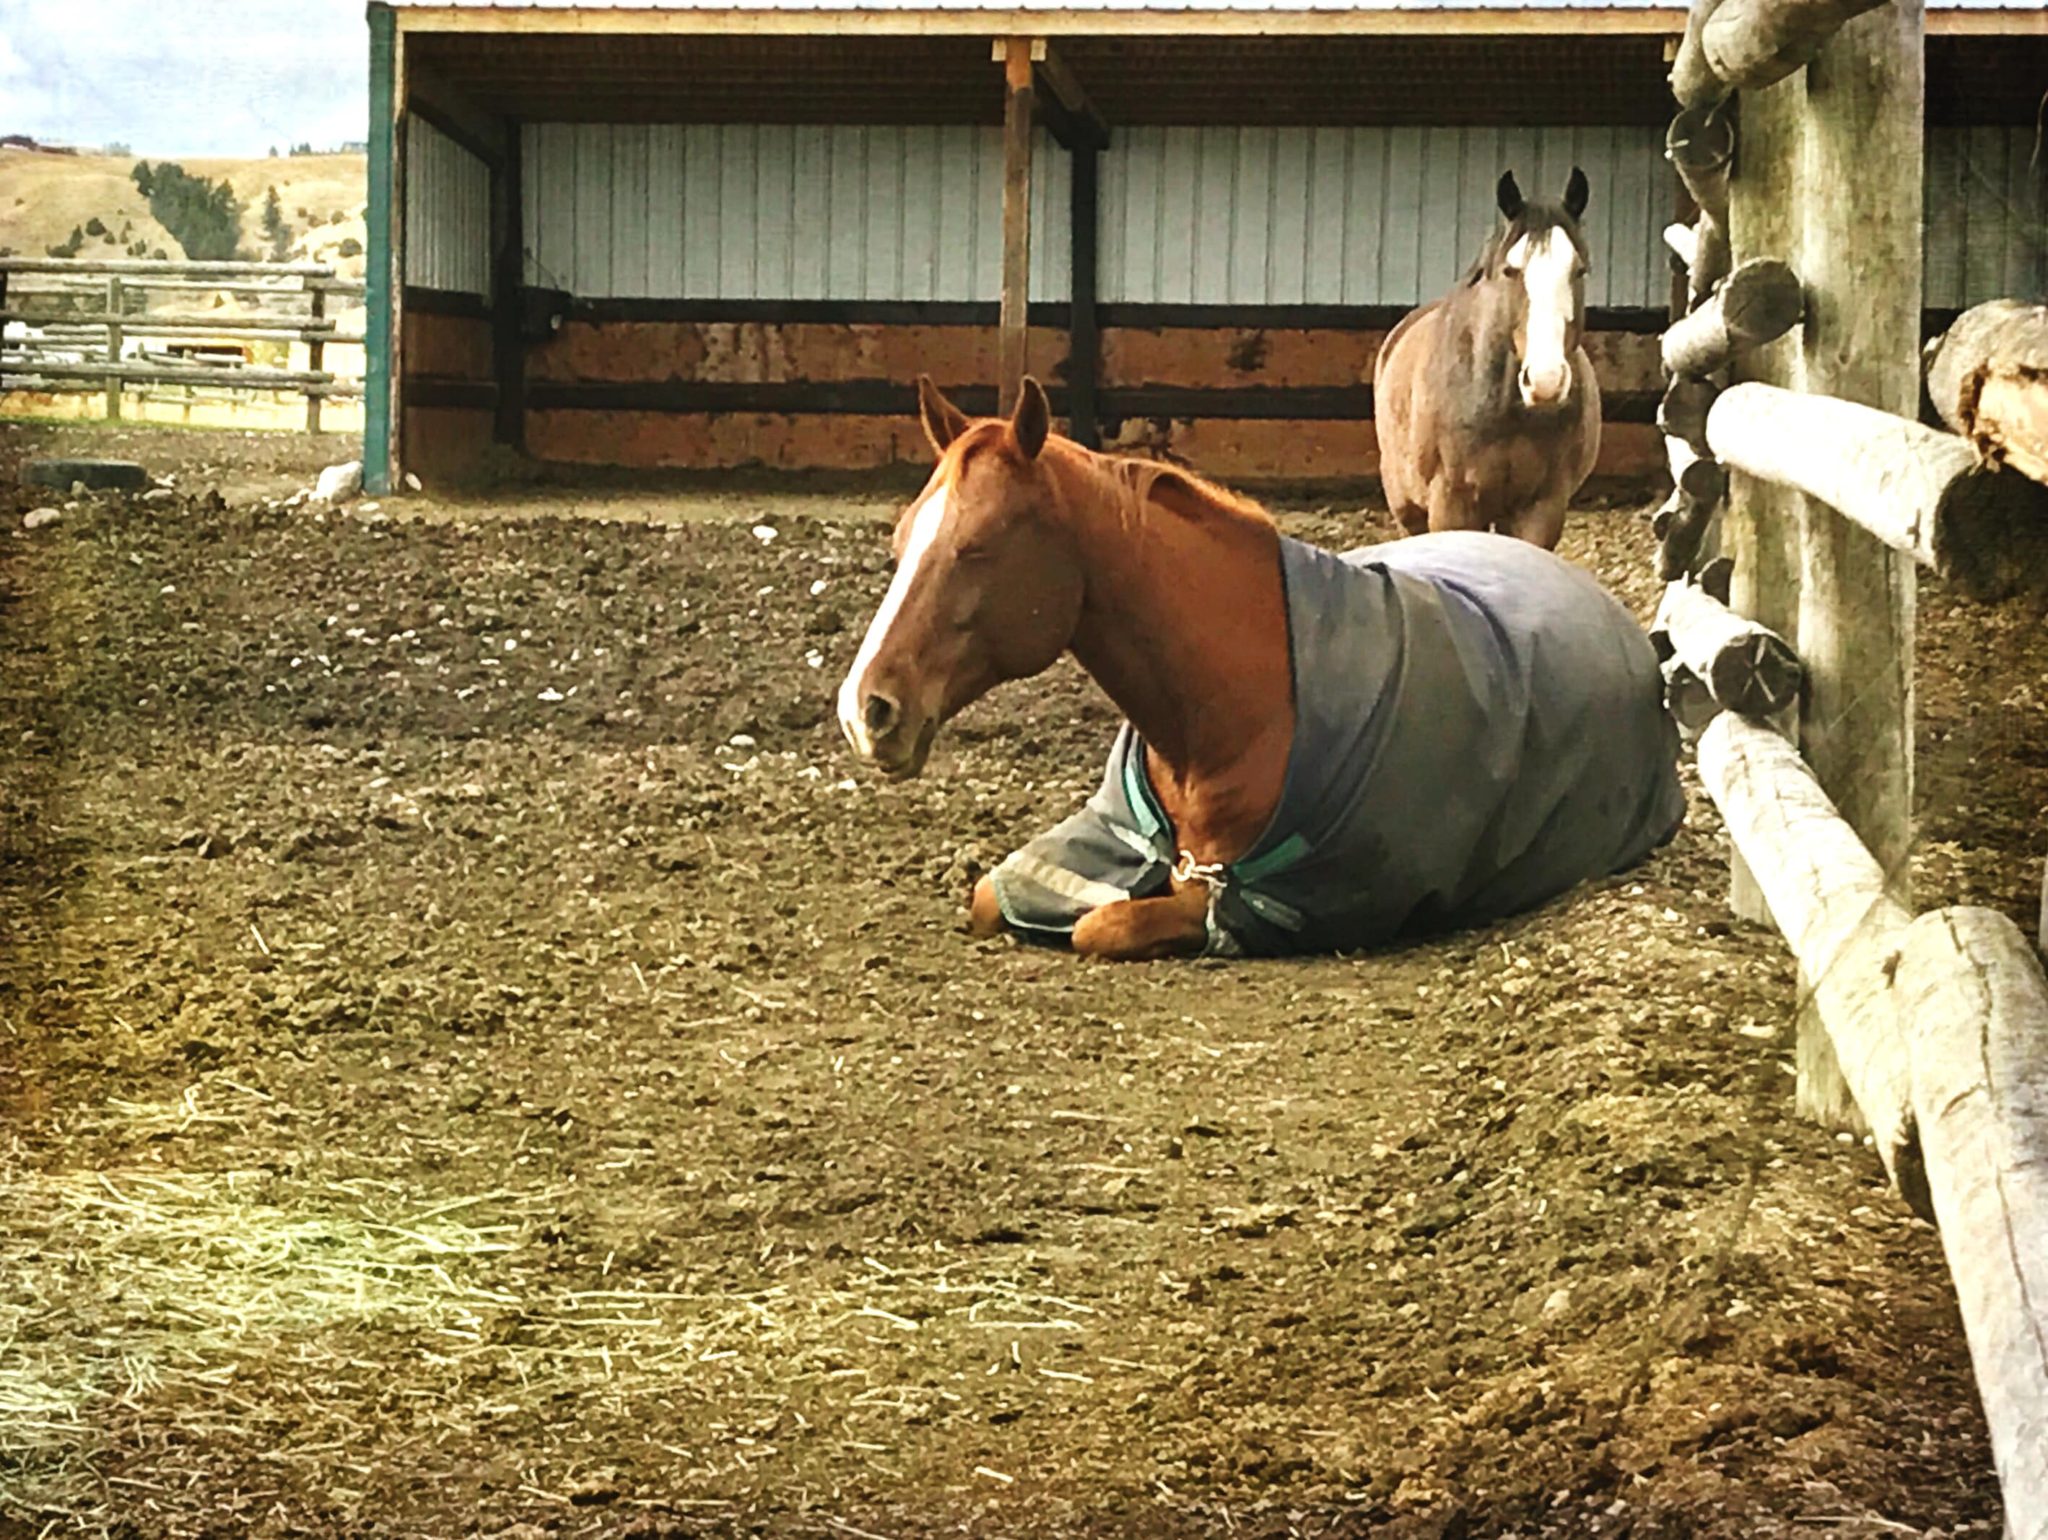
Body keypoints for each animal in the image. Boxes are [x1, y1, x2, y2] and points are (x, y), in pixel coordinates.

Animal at [836, 375, 1684, 963]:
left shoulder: (1253, 903)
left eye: (979, 545)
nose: (864, 710)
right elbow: (988, 894)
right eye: (903, 538)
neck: (1235, 707)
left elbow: (1103, 925)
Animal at [1374, 167, 1601, 550]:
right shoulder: (1451, 503)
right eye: (1511, 270)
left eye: (1580, 270)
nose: (1545, 382)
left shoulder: (1542, 506)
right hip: (1408, 508)